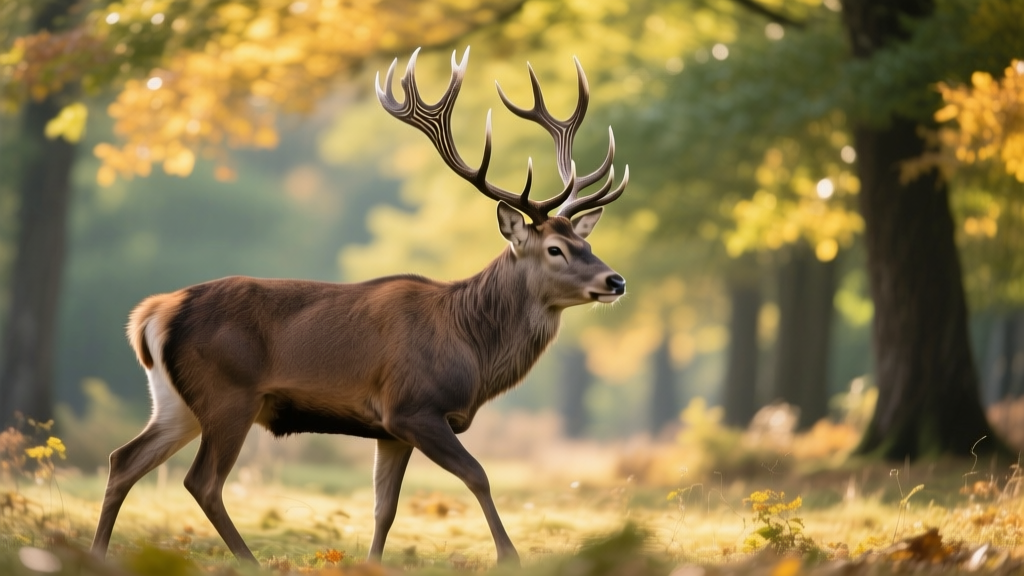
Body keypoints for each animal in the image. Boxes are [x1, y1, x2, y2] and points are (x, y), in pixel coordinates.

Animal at [90, 46, 628, 566]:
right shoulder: (413, 406)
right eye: (555, 249)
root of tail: (153, 314)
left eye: (585, 243)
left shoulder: (388, 429)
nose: (616, 280)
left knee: (123, 460)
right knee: (201, 482)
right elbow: (478, 475)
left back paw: (96, 553)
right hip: (227, 393)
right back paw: (247, 560)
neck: (473, 349)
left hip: (176, 400)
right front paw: (508, 556)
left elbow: (383, 507)